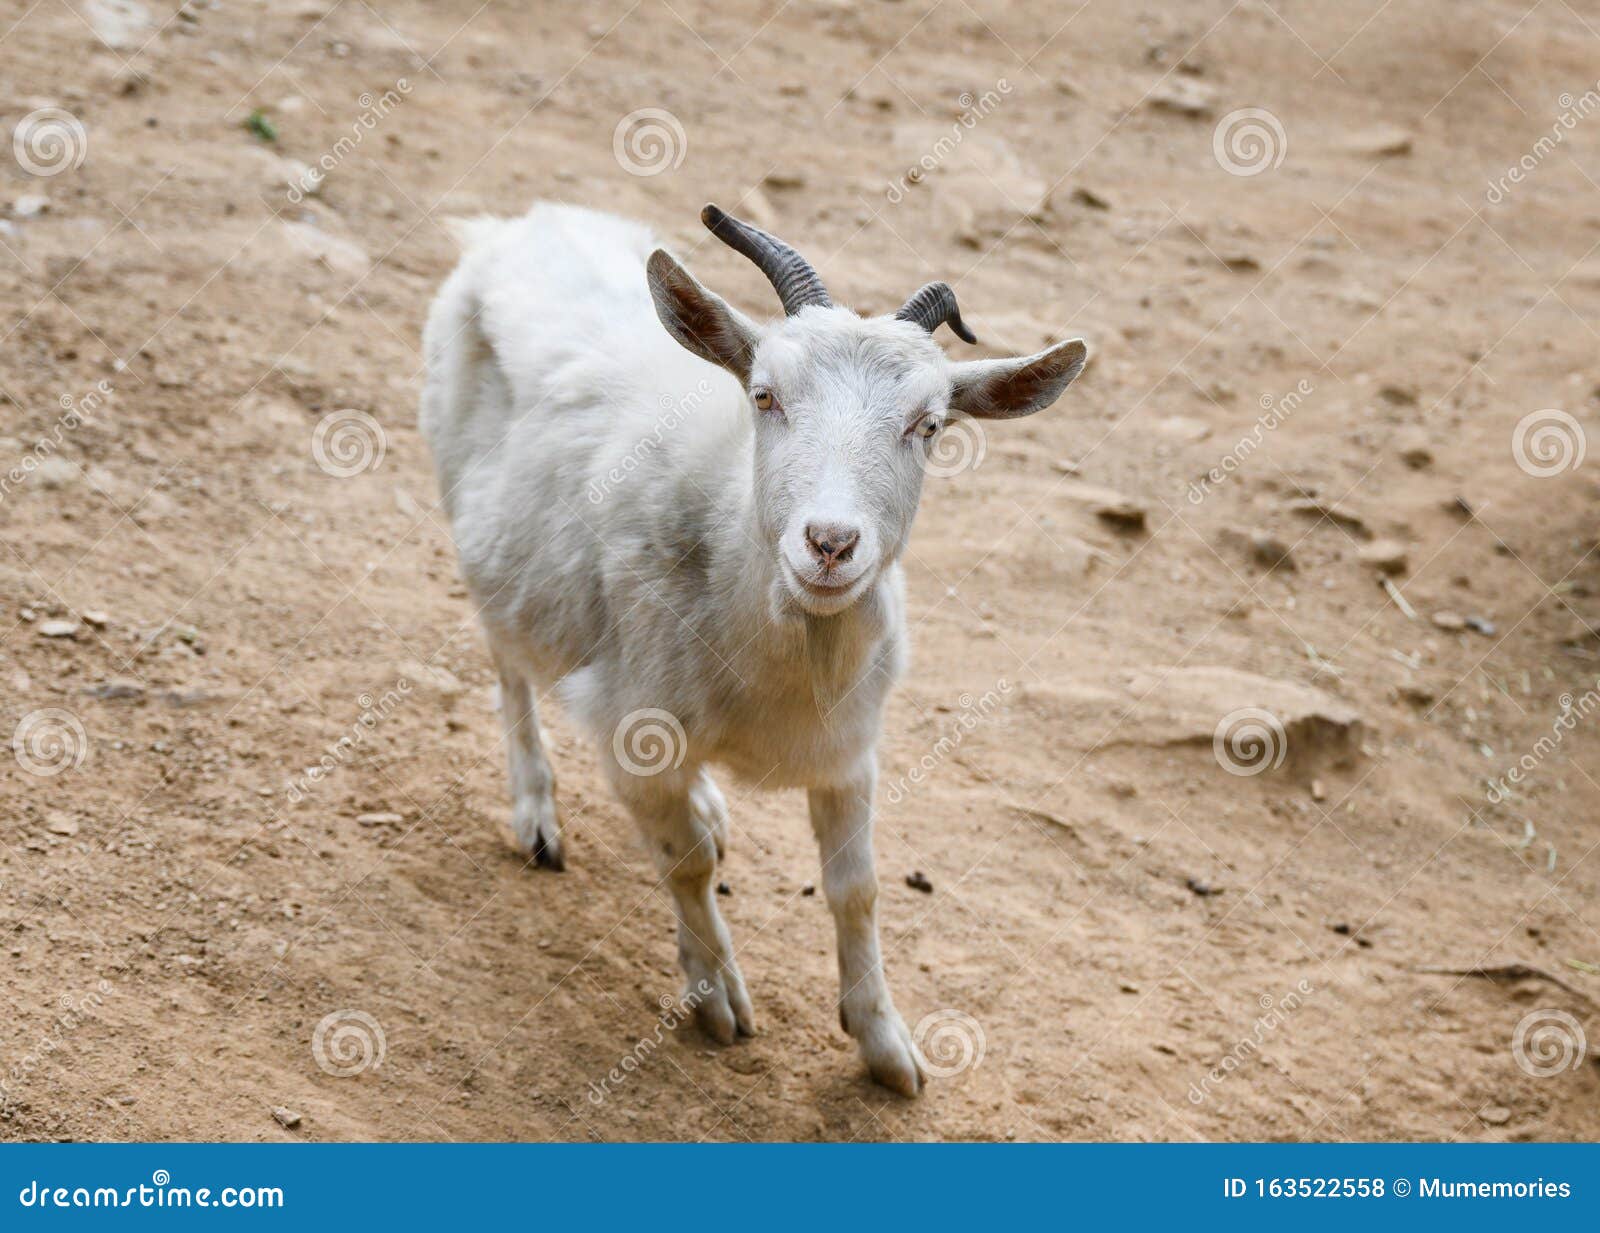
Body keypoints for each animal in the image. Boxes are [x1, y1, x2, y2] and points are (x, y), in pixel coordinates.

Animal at [420, 202, 1087, 1095]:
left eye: (930, 426)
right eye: (766, 395)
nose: (831, 543)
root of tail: (522, 223)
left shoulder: (850, 749)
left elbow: (856, 888)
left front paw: (885, 1044)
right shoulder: (634, 729)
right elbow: (688, 866)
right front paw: (716, 997)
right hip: (482, 535)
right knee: (508, 664)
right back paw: (536, 813)